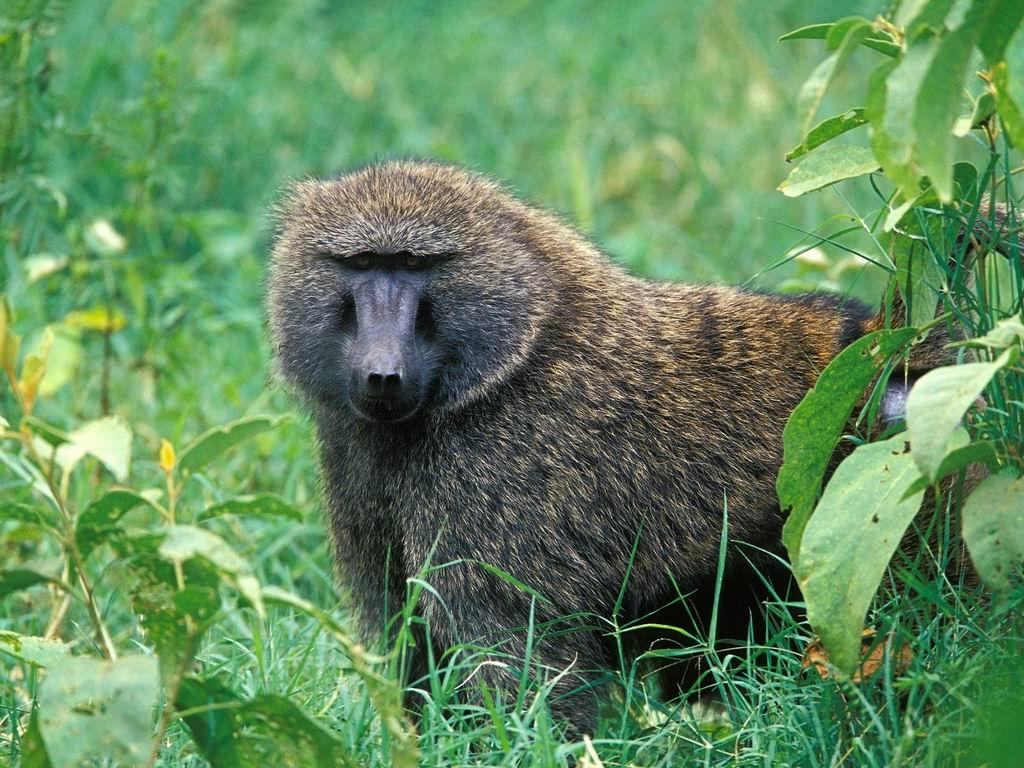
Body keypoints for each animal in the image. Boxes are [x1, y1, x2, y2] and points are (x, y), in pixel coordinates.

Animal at [265, 160, 1004, 735]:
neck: (508, 356)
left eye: (414, 265)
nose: (382, 374)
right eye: (362, 264)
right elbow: (417, 651)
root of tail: (895, 352)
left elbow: (521, 667)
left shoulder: (492, 485)